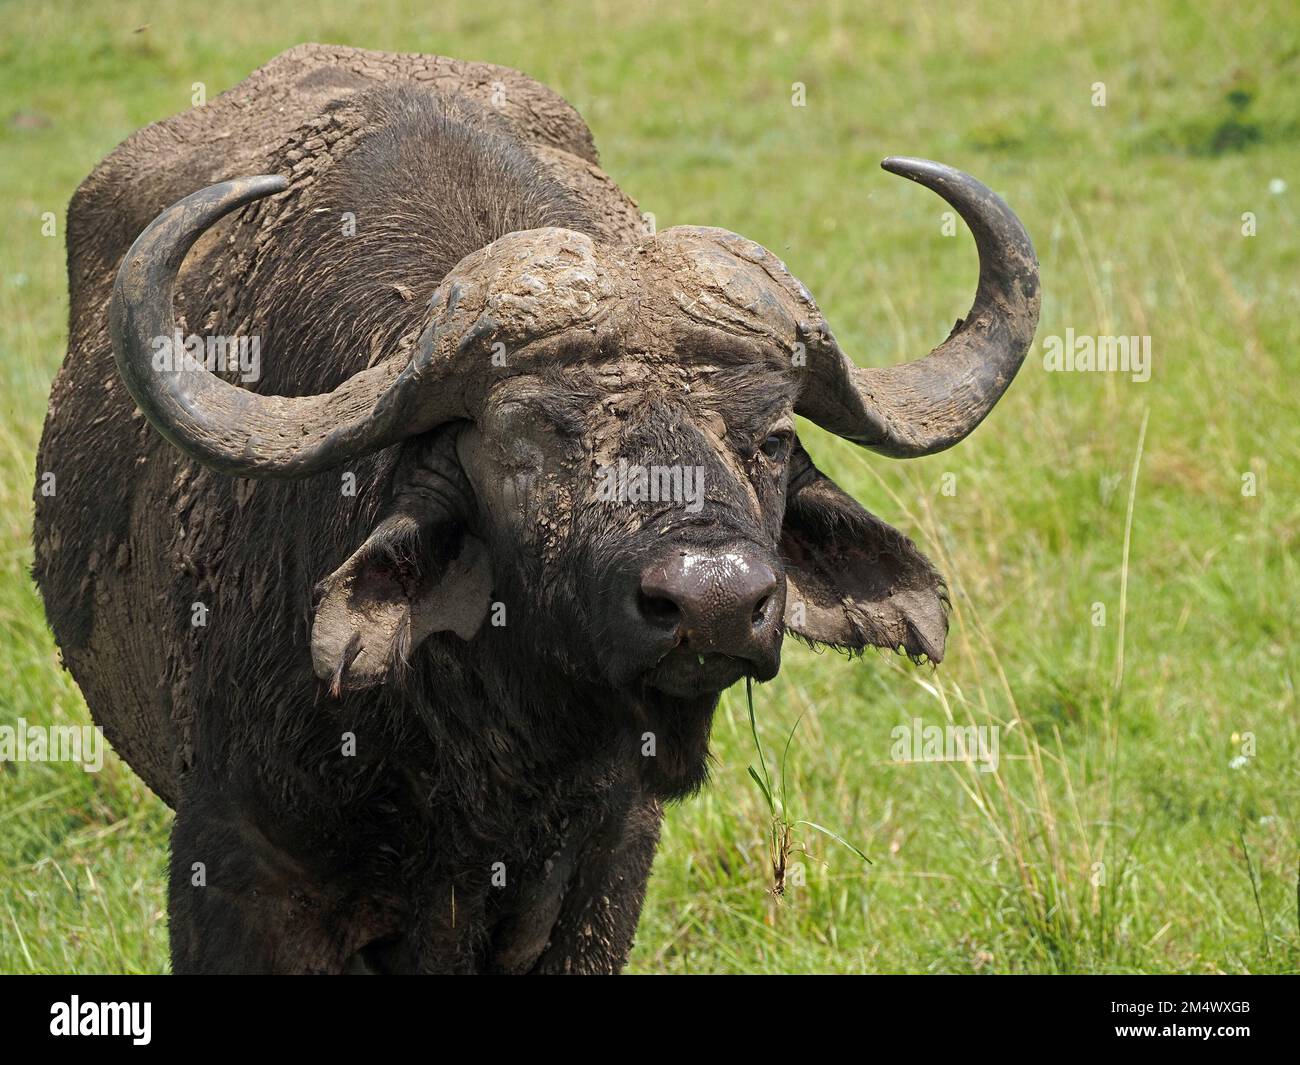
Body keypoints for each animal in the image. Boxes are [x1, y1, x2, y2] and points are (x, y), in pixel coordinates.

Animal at [32, 45, 1038, 973]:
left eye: (772, 438)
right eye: (530, 438)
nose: (714, 601)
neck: (485, 759)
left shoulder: (608, 865)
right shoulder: (238, 866)